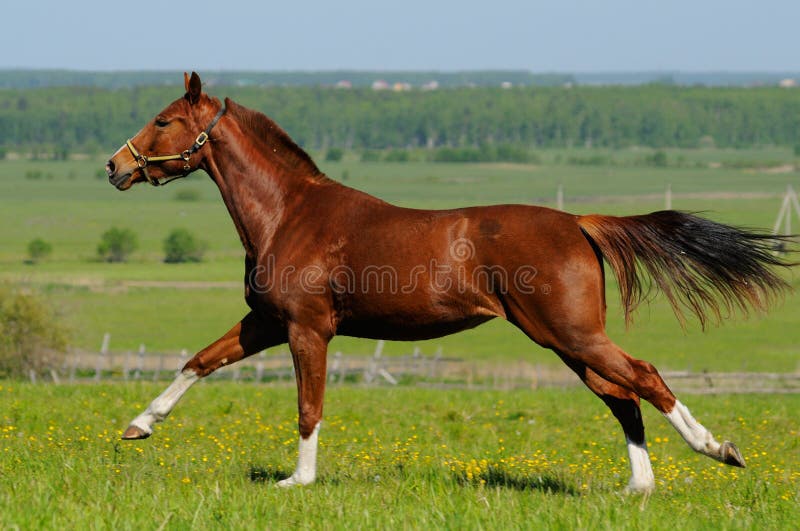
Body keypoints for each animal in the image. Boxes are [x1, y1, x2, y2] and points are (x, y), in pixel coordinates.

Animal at [105, 72, 790, 492]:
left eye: (163, 120)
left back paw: (718, 450)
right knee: (622, 397)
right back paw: (637, 487)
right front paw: (139, 426)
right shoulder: (268, 322)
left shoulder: (307, 329)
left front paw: (297, 481)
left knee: (643, 378)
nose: (114, 166)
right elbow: (198, 361)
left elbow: (308, 406)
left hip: (569, 333)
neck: (289, 214)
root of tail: (578, 221)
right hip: (567, 342)